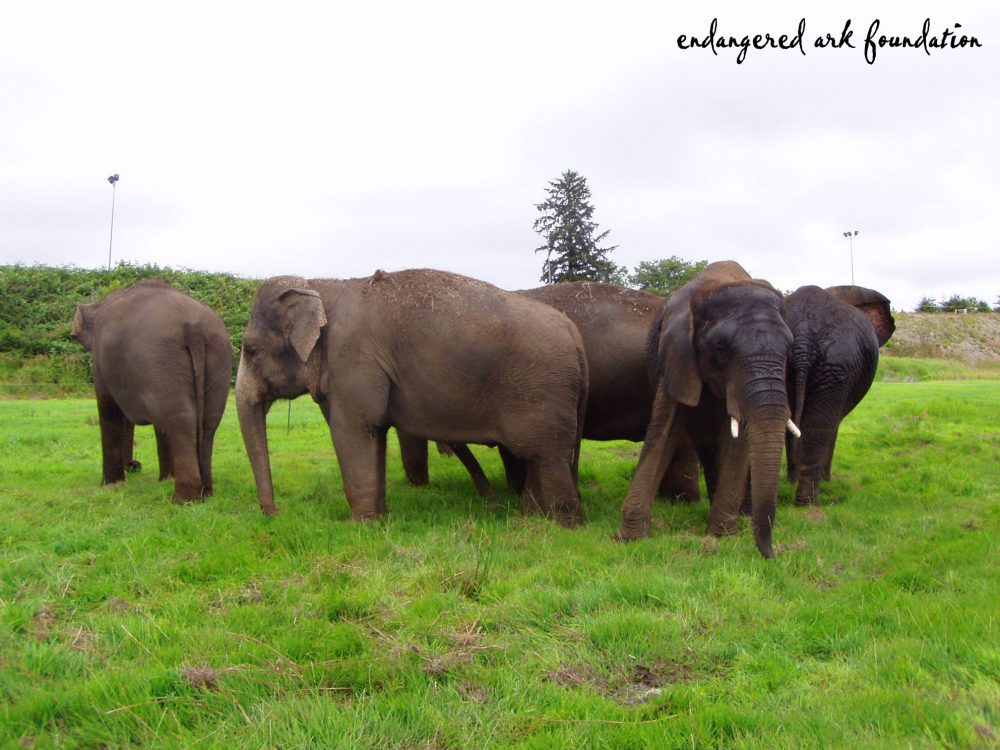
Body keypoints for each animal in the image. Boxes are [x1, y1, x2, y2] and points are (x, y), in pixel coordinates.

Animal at [71, 280, 232, 501]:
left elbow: (108, 408)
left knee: (178, 417)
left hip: (160, 359)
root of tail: (194, 328)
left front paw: (110, 485)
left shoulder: (101, 361)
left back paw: (183, 500)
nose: (134, 465)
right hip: (217, 356)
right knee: (209, 420)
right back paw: (206, 493)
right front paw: (165, 479)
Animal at [235, 269, 588, 526]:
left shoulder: (352, 358)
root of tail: (574, 334)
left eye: (251, 351)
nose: (277, 514)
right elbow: (374, 433)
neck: (320, 286)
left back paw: (558, 526)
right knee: (541, 457)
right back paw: (533, 517)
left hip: (542, 391)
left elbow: (353, 429)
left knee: (546, 455)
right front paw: (378, 519)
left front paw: (359, 526)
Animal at [617, 261, 797, 559]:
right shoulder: (676, 359)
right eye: (720, 349)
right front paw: (630, 537)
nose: (772, 556)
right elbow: (662, 433)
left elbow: (738, 443)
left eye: (789, 349)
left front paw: (722, 535)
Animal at [784, 285, 895, 505]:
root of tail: (804, 333)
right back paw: (808, 499)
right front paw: (827, 480)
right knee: (819, 427)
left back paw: (791, 484)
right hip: (837, 364)